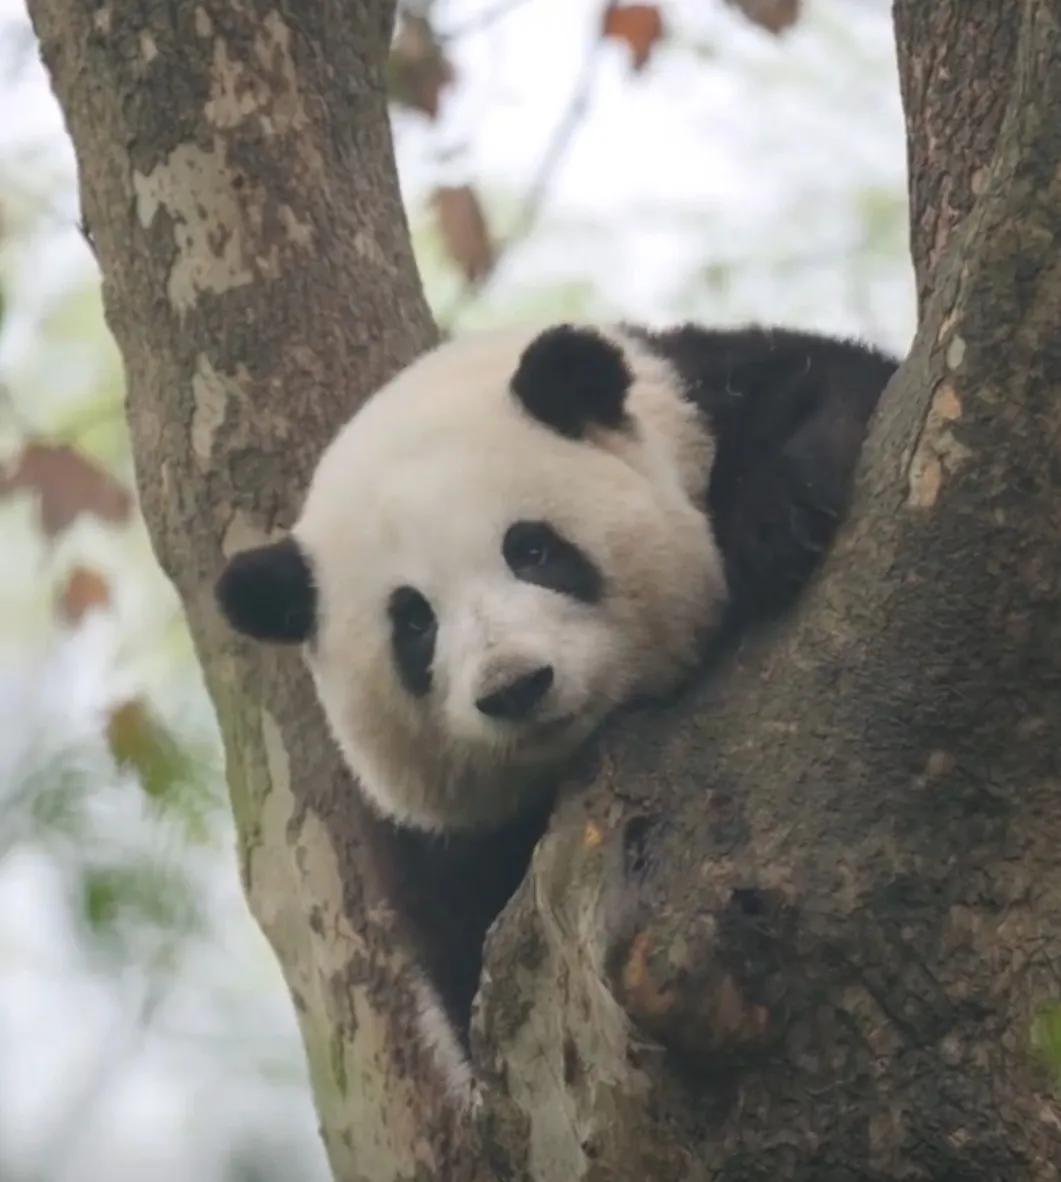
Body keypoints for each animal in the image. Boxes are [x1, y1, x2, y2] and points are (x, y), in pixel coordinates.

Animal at [216, 322, 896, 1053]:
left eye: (532, 550)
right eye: (414, 621)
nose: (515, 686)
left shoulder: (709, 393)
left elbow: (831, 385)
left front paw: (776, 521)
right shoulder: (436, 854)